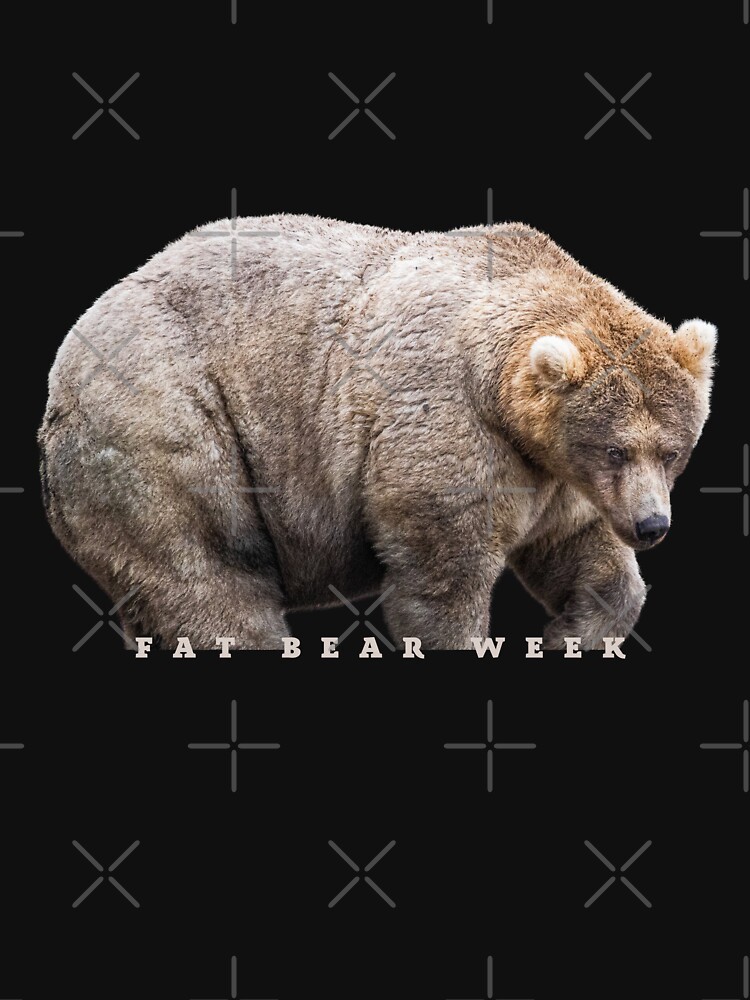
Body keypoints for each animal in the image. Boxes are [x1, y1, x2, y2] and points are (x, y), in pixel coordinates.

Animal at [38, 215, 717, 650]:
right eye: (616, 447)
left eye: (673, 451)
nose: (653, 526)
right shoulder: (451, 422)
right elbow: (443, 570)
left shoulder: (553, 472)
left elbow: (582, 552)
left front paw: (569, 631)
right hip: (165, 417)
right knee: (208, 571)